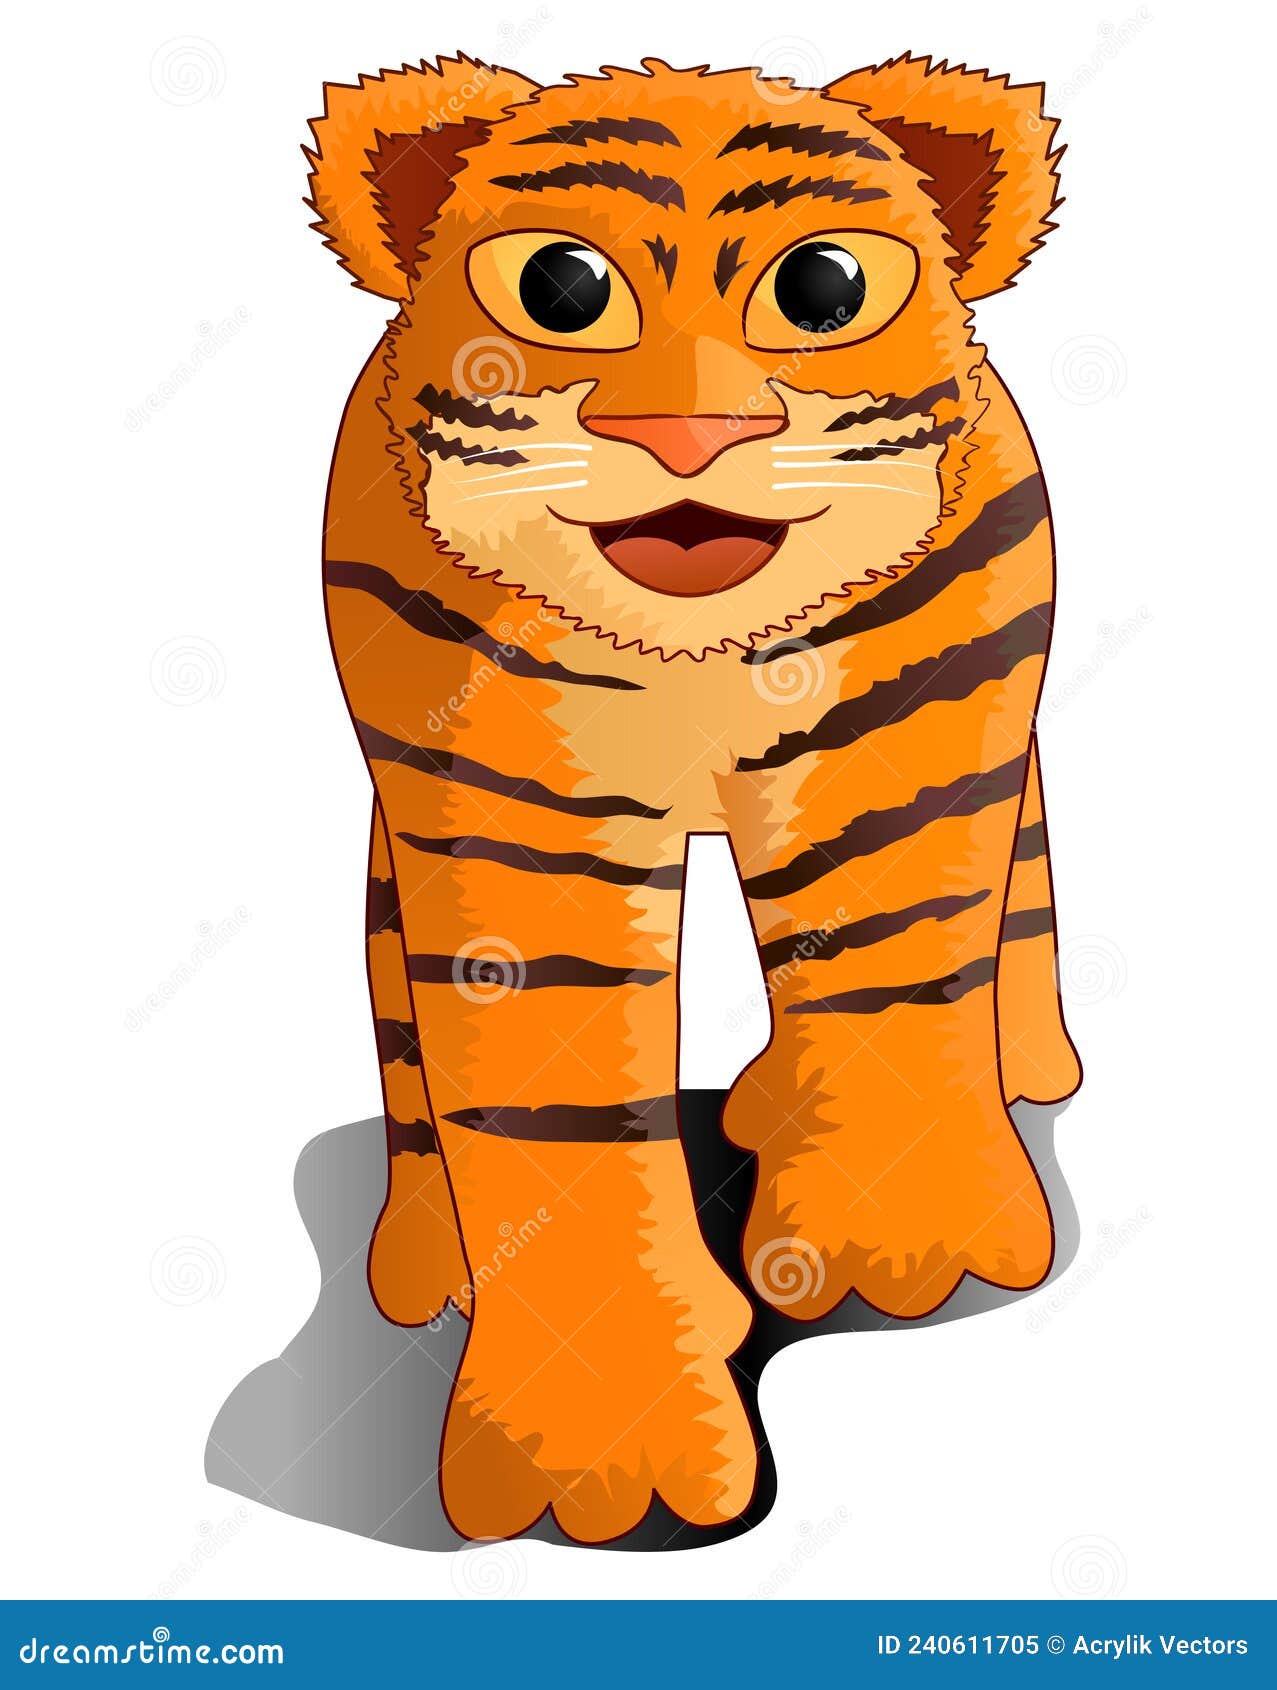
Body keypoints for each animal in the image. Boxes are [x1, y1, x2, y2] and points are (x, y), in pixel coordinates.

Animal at [305, 51, 1083, 1546]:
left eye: (822, 287)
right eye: (559, 288)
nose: (687, 435)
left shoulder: (903, 745)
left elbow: (893, 970)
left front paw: (896, 1248)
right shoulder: (509, 824)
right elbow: (544, 1114)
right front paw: (591, 1456)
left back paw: (1012, 1073)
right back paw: (423, 1261)